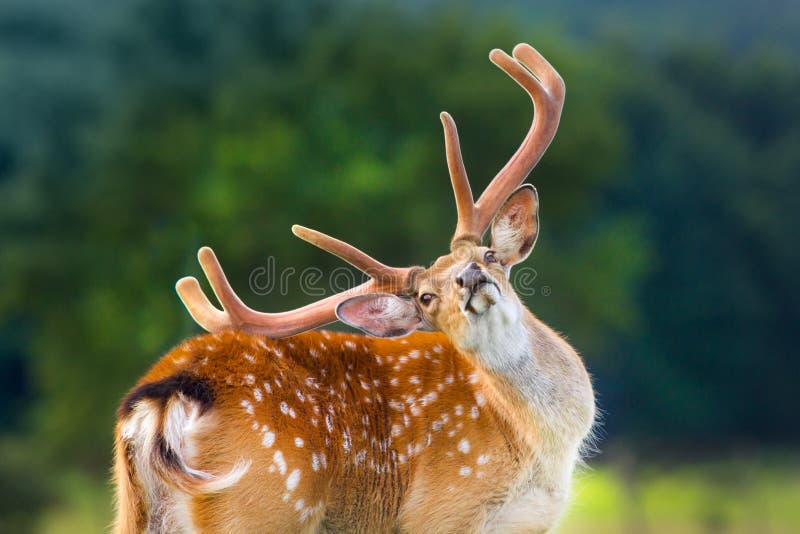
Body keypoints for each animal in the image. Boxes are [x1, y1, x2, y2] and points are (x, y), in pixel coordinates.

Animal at [113, 43, 595, 533]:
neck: (541, 448)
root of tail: (166, 395)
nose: (471, 278)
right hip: (258, 503)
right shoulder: (444, 509)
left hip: (136, 511)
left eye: (490, 255)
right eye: (426, 298)